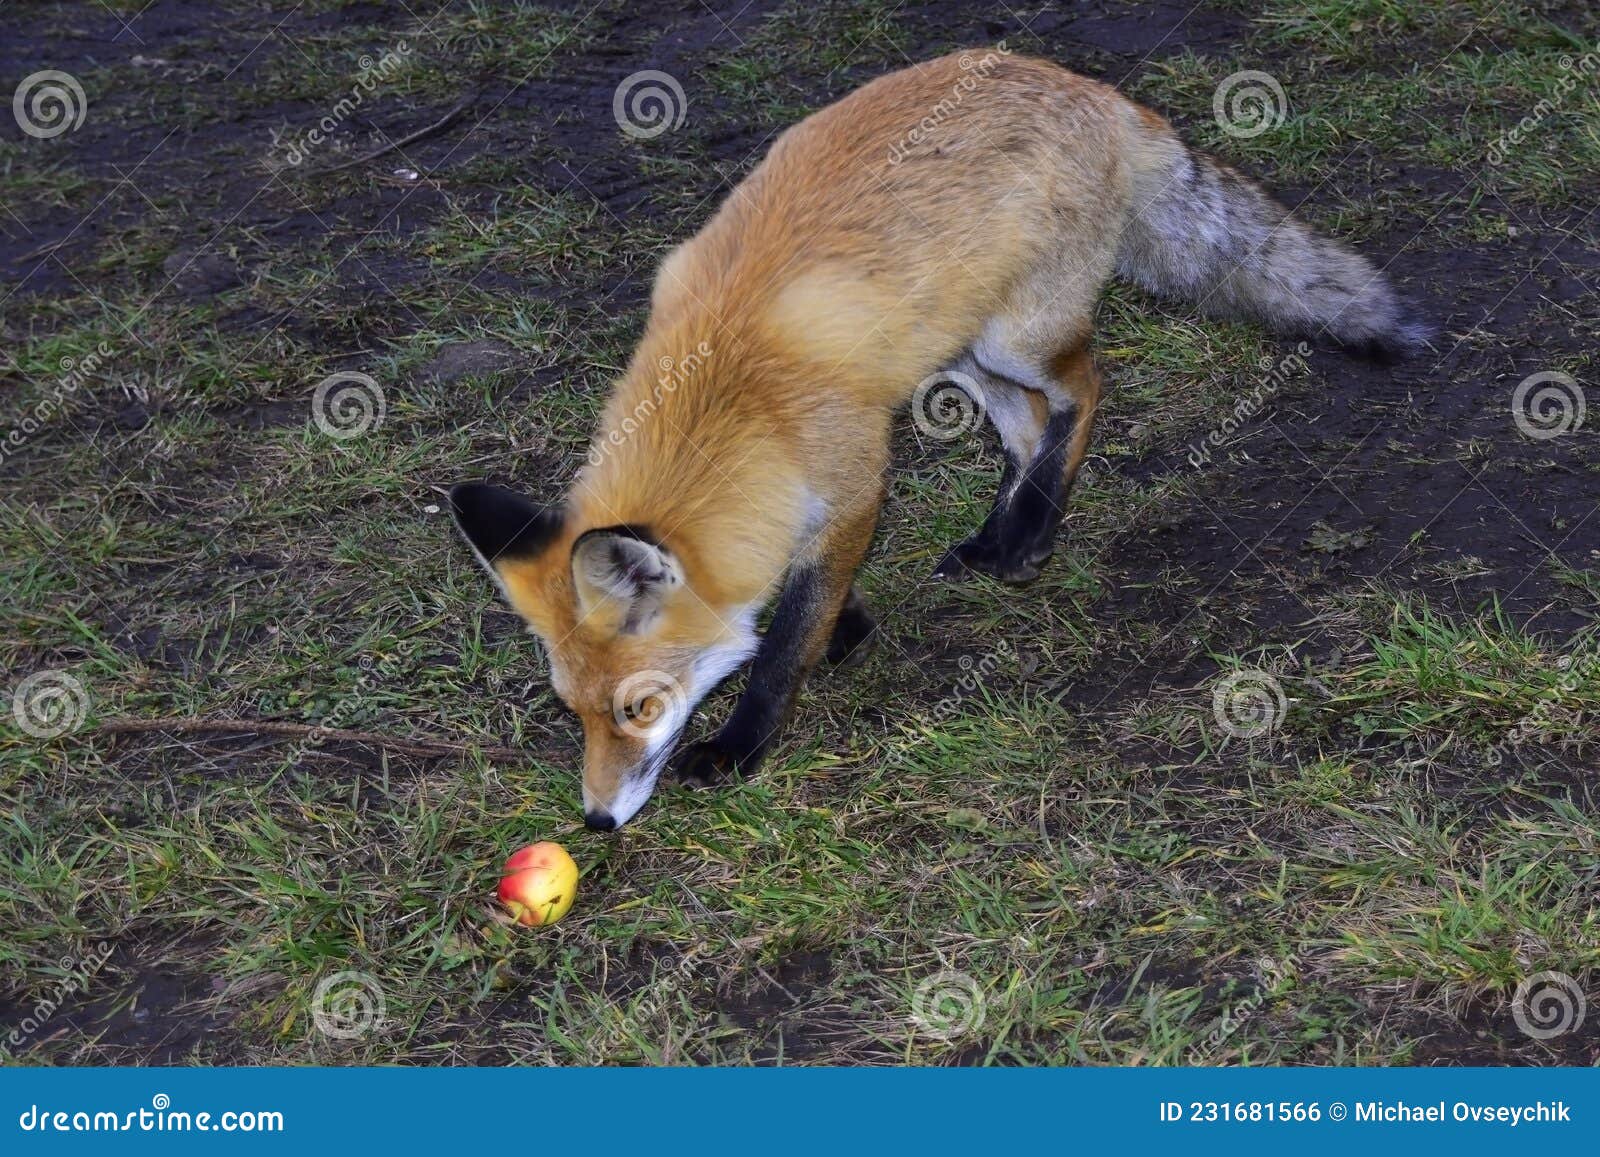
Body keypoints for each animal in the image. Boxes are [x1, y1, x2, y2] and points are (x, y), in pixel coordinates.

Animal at [450, 51, 1429, 829]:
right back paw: (1003, 536)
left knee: (1085, 390)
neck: (734, 395)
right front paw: (847, 628)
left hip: (1015, 336)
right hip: (956, 347)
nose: (596, 821)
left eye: (641, 708)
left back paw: (1030, 537)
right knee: (1029, 428)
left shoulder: (855, 478)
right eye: (573, 713)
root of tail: (1088, 86)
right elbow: (802, 600)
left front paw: (744, 741)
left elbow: (787, 638)